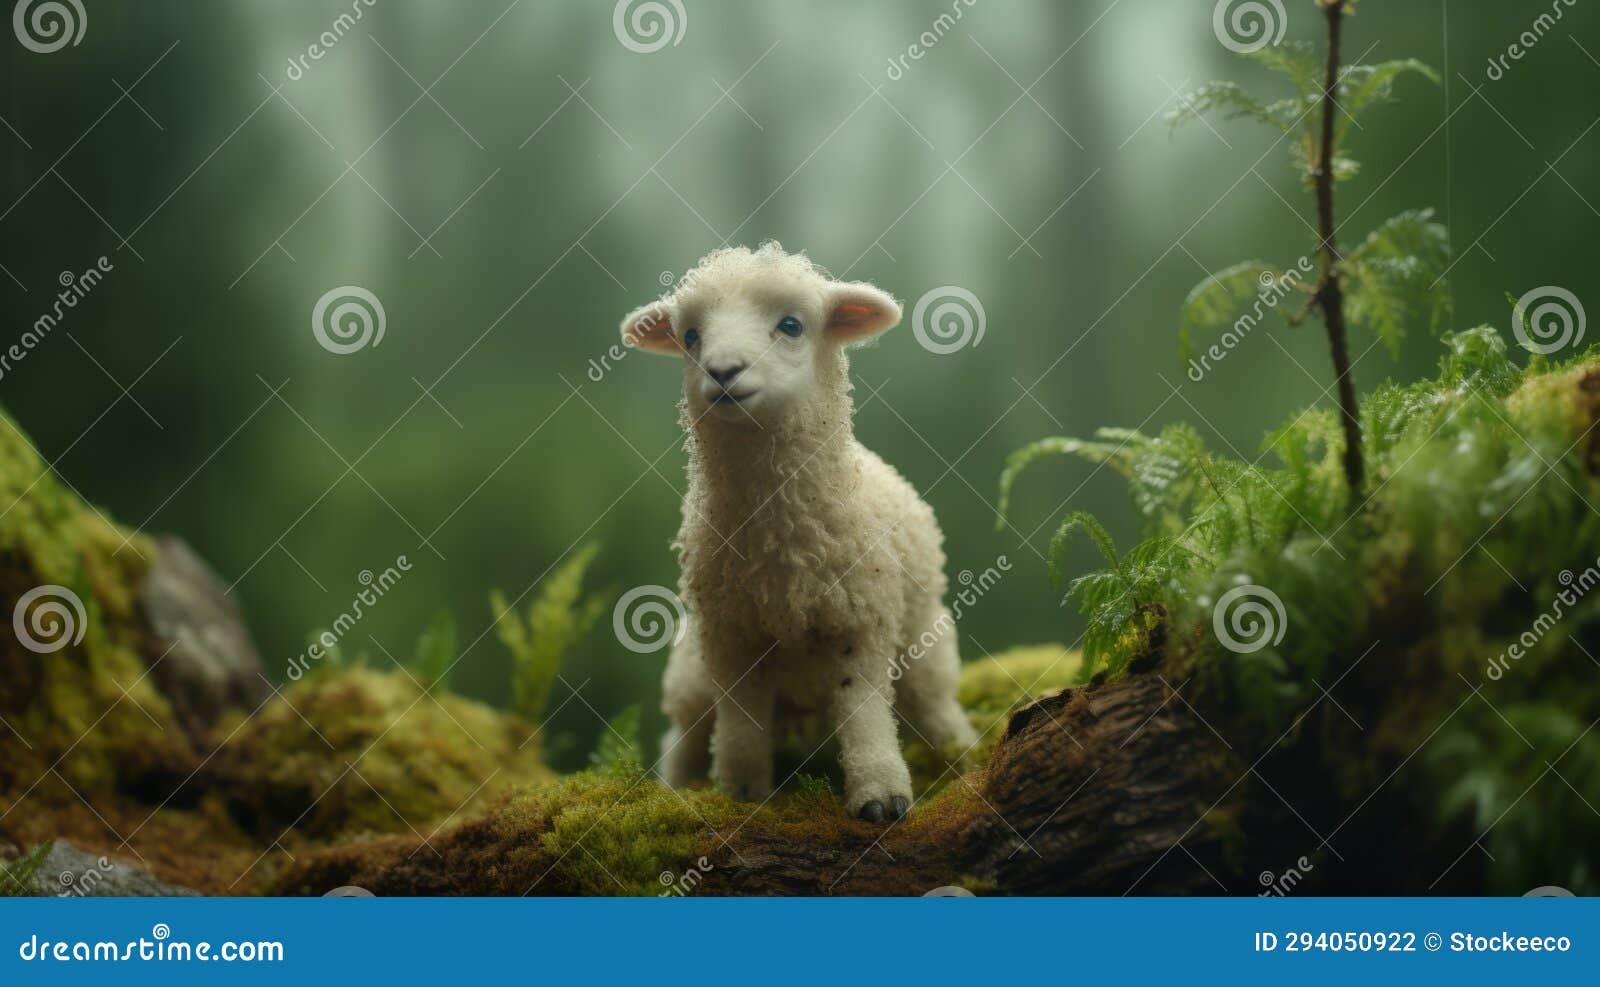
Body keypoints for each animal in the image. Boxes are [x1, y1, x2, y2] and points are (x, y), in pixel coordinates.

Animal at [620, 242, 977, 822]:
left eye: (791, 325)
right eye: (691, 336)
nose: (723, 371)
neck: (778, 539)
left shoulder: (861, 621)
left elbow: (863, 712)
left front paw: (881, 795)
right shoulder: (730, 634)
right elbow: (740, 727)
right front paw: (741, 795)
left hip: (926, 639)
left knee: (933, 704)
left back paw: (964, 753)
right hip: (690, 671)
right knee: (686, 735)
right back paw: (673, 788)